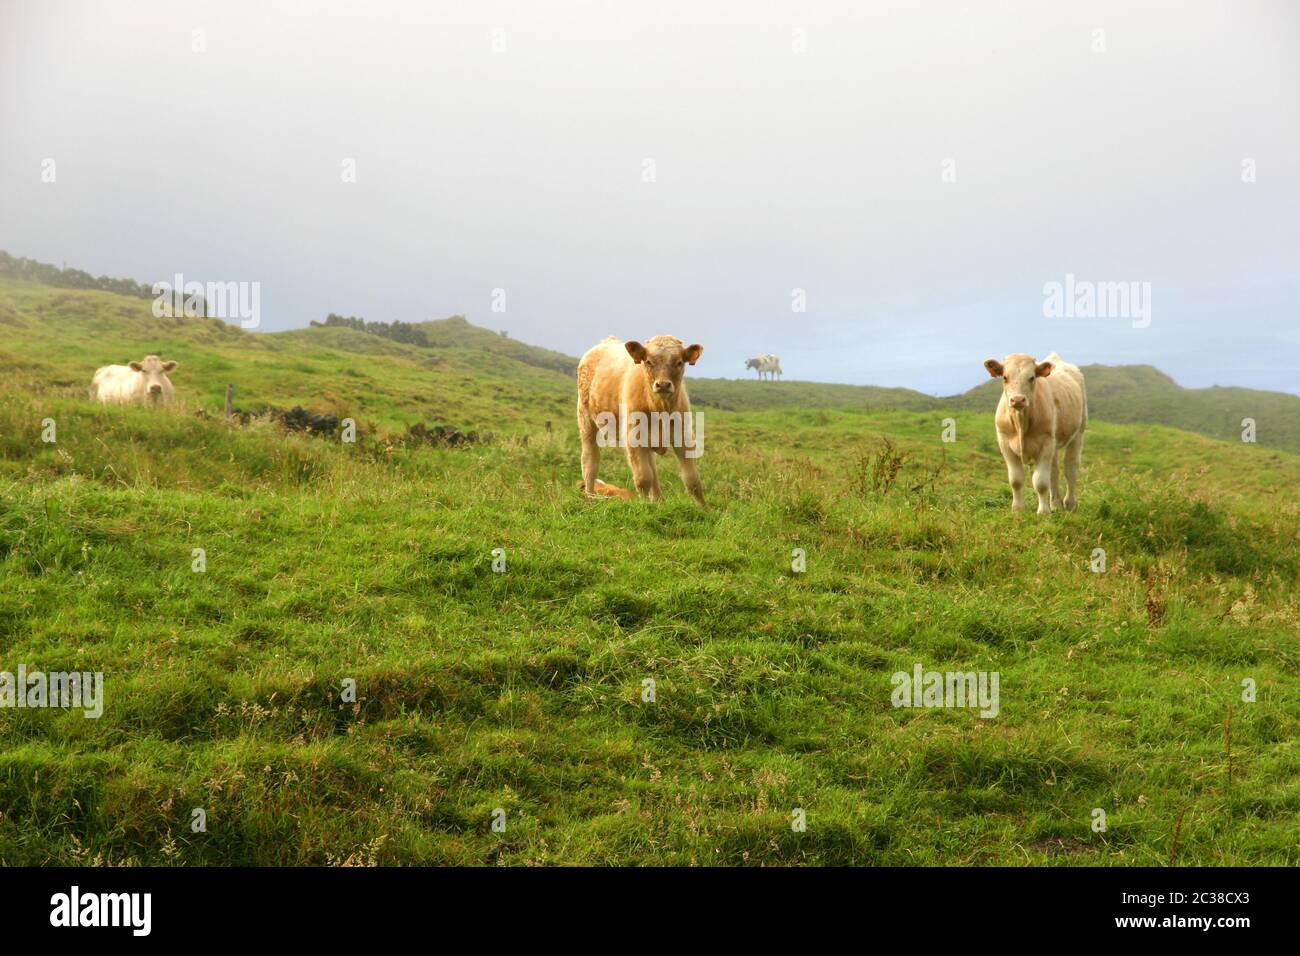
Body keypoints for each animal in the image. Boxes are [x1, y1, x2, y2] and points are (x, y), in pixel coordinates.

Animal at [576, 335, 705, 503]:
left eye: (679, 362)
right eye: (648, 361)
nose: (663, 384)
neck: (659, 408)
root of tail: (607, 342)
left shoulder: (684, 436)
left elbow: (692, 480)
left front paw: (704, 508)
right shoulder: (633, 437)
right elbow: (643, 478)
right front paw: (643, 506)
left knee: (653, 467)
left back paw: (659, 500)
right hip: (586, 420)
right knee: (590, 460)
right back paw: (590, 498)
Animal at [982, 352, 1087, 514]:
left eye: (1032, 377)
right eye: (1005, 377)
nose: (1018, 400)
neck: (1021, 422)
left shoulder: (1045, 444)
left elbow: (1041, 482)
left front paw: (1043, 512)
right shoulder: (1005, 444)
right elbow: (1016, 480)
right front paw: (1018, 509)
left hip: (1078, 432)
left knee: (1071, 468)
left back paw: (1070, 504)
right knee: (1054, 472)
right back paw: (1056, 504)